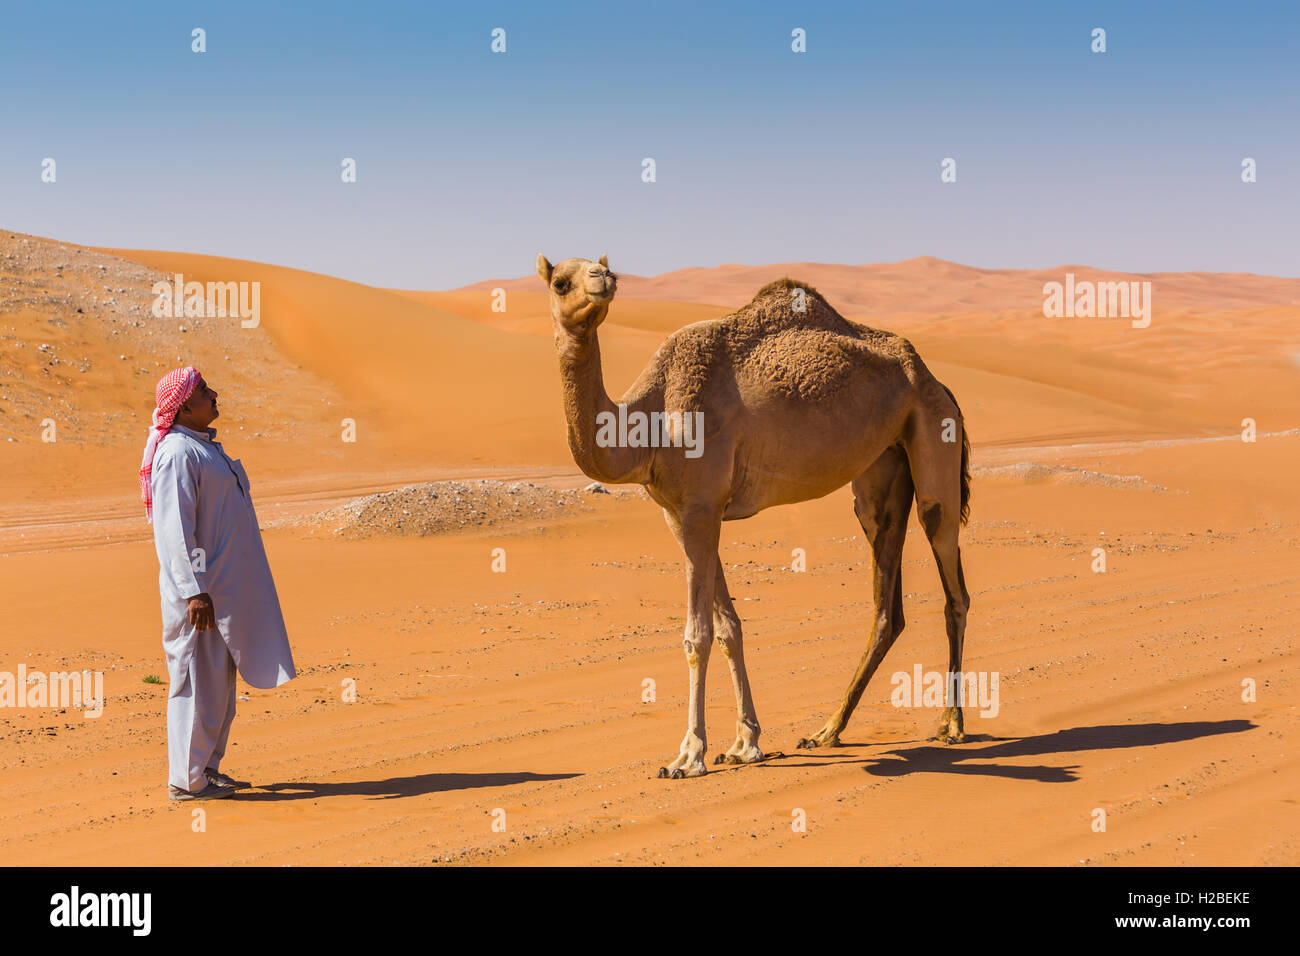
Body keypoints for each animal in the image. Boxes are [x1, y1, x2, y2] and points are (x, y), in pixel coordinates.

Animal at [538, 253, 971, 779]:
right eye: (561, 282)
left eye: (602, 270)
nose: (604, 280)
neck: (650, 421)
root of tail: (937, 381)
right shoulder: (684, 515)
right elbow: (728, 628)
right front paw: (745, 743)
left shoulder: (701, 507)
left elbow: (697, 635)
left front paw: (688, 756)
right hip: (881, 473)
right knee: (888, 603)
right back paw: (827, 730)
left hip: (934, 433)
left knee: (951, 578)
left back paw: (951, 724)